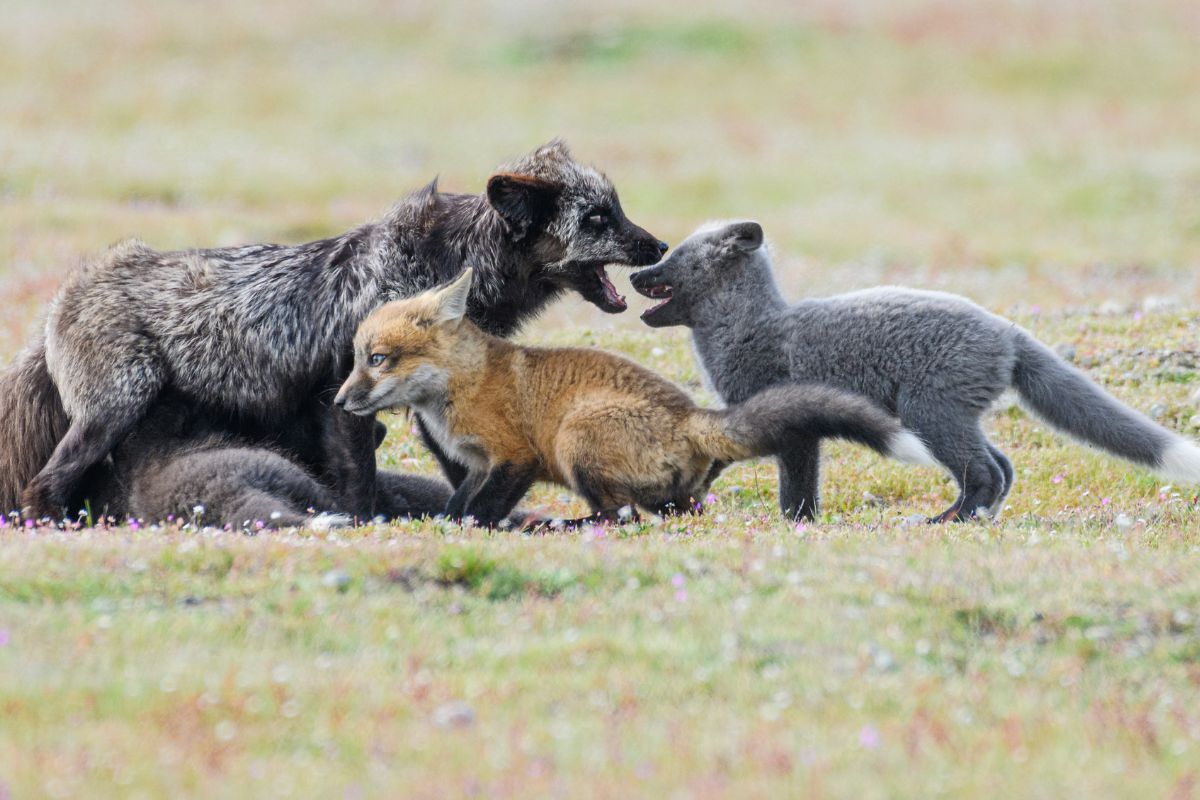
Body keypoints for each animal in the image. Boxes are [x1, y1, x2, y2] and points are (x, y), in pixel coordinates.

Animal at [0, 140, 666, 520]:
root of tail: (68, 294)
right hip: (113, 412)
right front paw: (370, 525)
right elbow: (359, 486)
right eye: (597, 218)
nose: (659, 247)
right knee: (41, 486)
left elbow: (465, 470)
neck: (448, 265)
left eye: (616, 209)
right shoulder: (341, 400)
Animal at [333, 269, 936, 526]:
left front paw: (479, 527)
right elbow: (457, 503)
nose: (338, 403)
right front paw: (450, 522)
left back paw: (571, 525)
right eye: (357, 358)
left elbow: (480, 511)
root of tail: (692, 417)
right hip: (671, 490)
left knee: (620, 516)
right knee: (671, 511)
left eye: (377, 358)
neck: (461, 387)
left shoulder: (516, 458)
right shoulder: (479, 464)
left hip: (575, 438)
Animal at [629, 219, 1200, 522]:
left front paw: (796, 526)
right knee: (1003, 468)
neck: (751, 327)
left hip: (929, 412)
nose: (637, 273)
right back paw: (973, 519)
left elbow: (797, 492)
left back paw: (947, 521)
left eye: (678, 257)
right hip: (952, 416)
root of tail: (1007, 330)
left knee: (986, 472)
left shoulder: (793, 427)